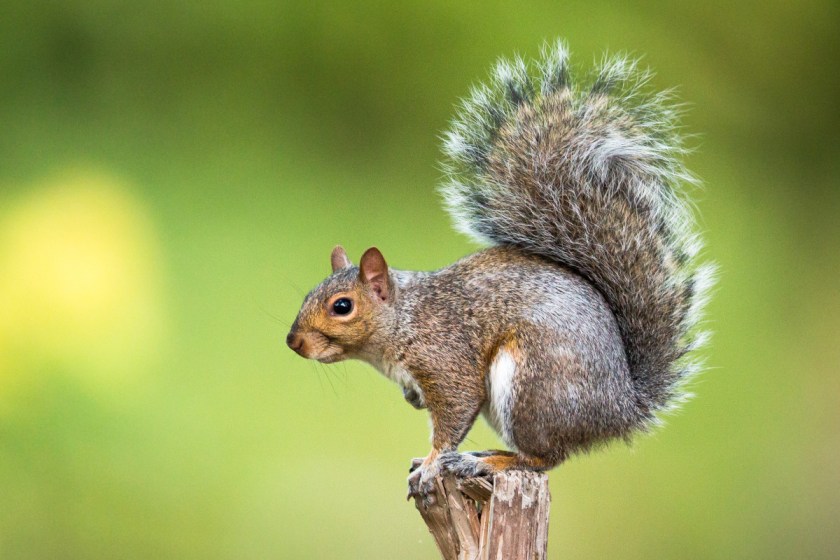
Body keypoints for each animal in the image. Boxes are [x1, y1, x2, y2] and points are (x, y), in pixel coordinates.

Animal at [285, 41, 714, 499]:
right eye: (309, 294)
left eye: (342, 306)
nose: (294, 342)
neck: (406, 319)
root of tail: (620, 410)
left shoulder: (447, 359)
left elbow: (452, 417)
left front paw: (432, 465)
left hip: (532, 387)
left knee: (544, 458)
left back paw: (484, 461)